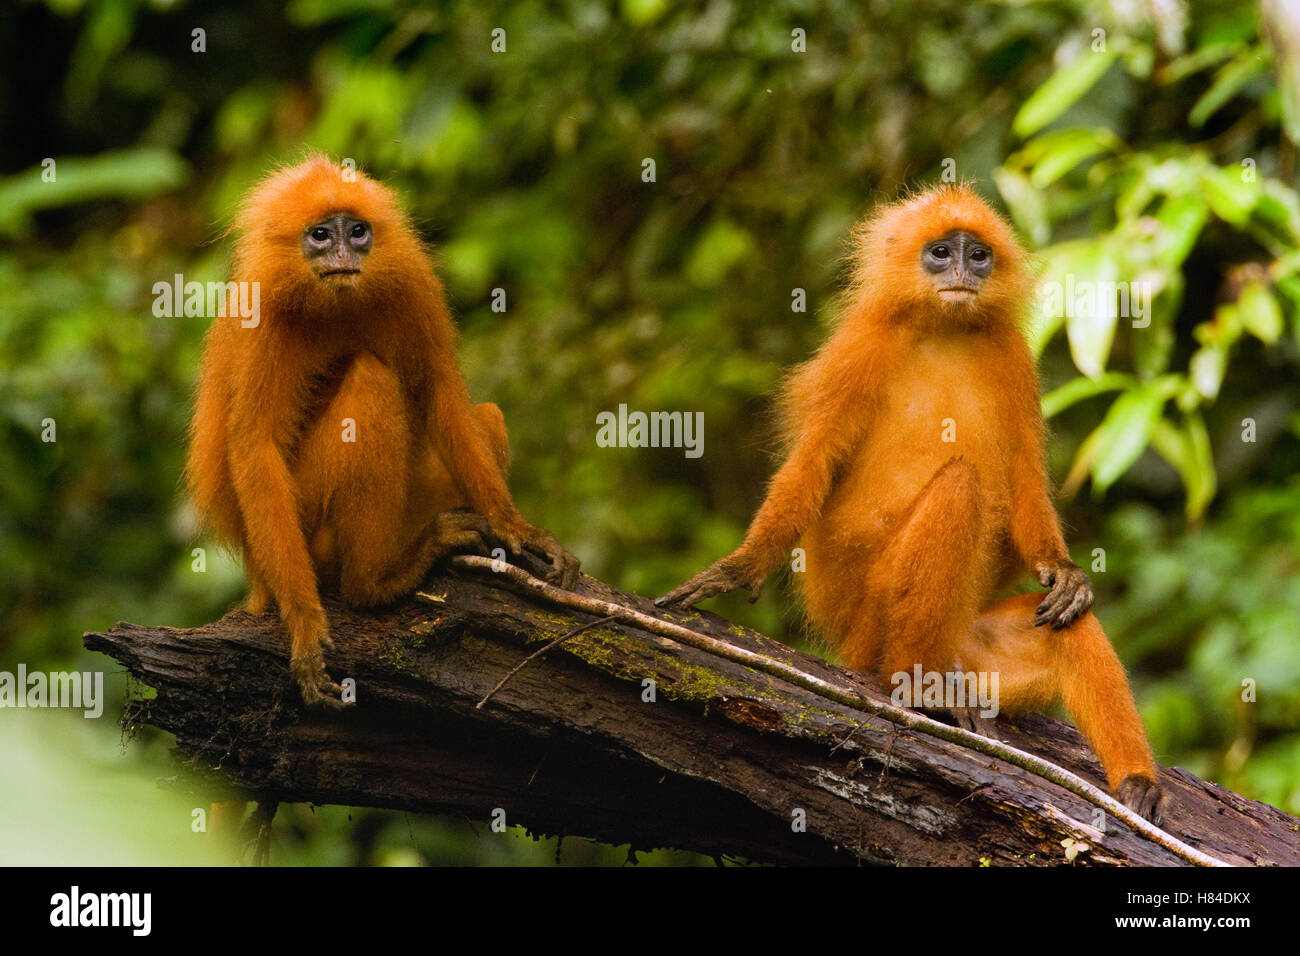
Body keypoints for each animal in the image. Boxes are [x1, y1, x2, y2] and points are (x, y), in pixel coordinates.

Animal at [186, 154, 580, 708]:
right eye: (321, 235)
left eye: (357, 231)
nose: (345, 253)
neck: (336, 300)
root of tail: (261, 582)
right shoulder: (260, 313)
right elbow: (256, 449)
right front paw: (305, 626)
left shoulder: (409, 283)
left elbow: (440, 392)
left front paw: (516, 528)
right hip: (311, 536)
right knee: (370, 379)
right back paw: (376, 583)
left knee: (485, 415)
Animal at [657, 184, 1166, 824]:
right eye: (941, 252)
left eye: (978, 255)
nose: (962, 272)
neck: (944, 328)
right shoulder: (862, 345)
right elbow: (815, 462)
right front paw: (740, 566)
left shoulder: (1011, 356)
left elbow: (1025, 476)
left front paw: (1063, 568)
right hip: (873, 624)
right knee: (959, 486)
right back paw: (917, 685)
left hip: (977, 657)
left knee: (1070, 628)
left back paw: (1137, 783)